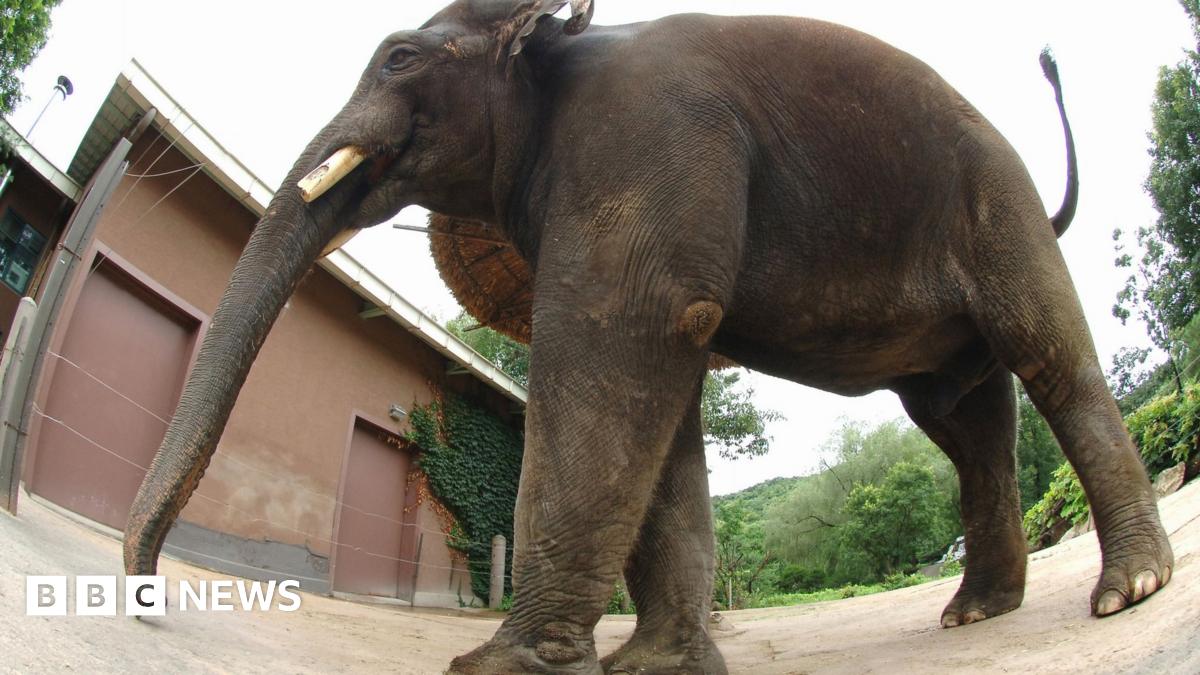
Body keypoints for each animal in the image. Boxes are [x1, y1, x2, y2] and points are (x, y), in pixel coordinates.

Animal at [123, 1, 1174, 673]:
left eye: (397, 59)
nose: (151, 600)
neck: (548, 46)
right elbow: (660, 402)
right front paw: (656, 666)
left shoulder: (640, 141)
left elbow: (621, 339)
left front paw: (498, 665)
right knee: (964, 422)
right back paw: (976, 610)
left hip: (996, 200)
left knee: (1050, 358)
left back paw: (1128, 589)